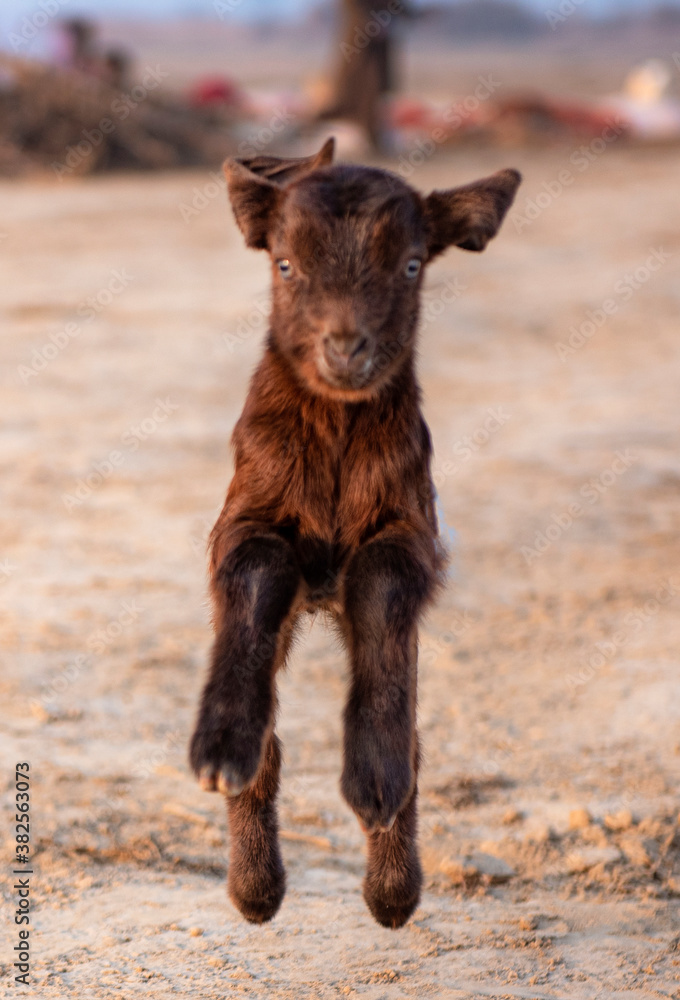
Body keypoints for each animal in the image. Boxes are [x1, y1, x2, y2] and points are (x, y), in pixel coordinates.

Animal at [189, 138, 520, 928]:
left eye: (412, 265)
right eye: (284, 264)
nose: (346, 349)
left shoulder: (414, 526)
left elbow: (383, 588)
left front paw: (376, 776)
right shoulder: (242, 514)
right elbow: (255, 575)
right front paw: (222, 746)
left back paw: (392, 892)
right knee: (272, 751)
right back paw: (256, 890)